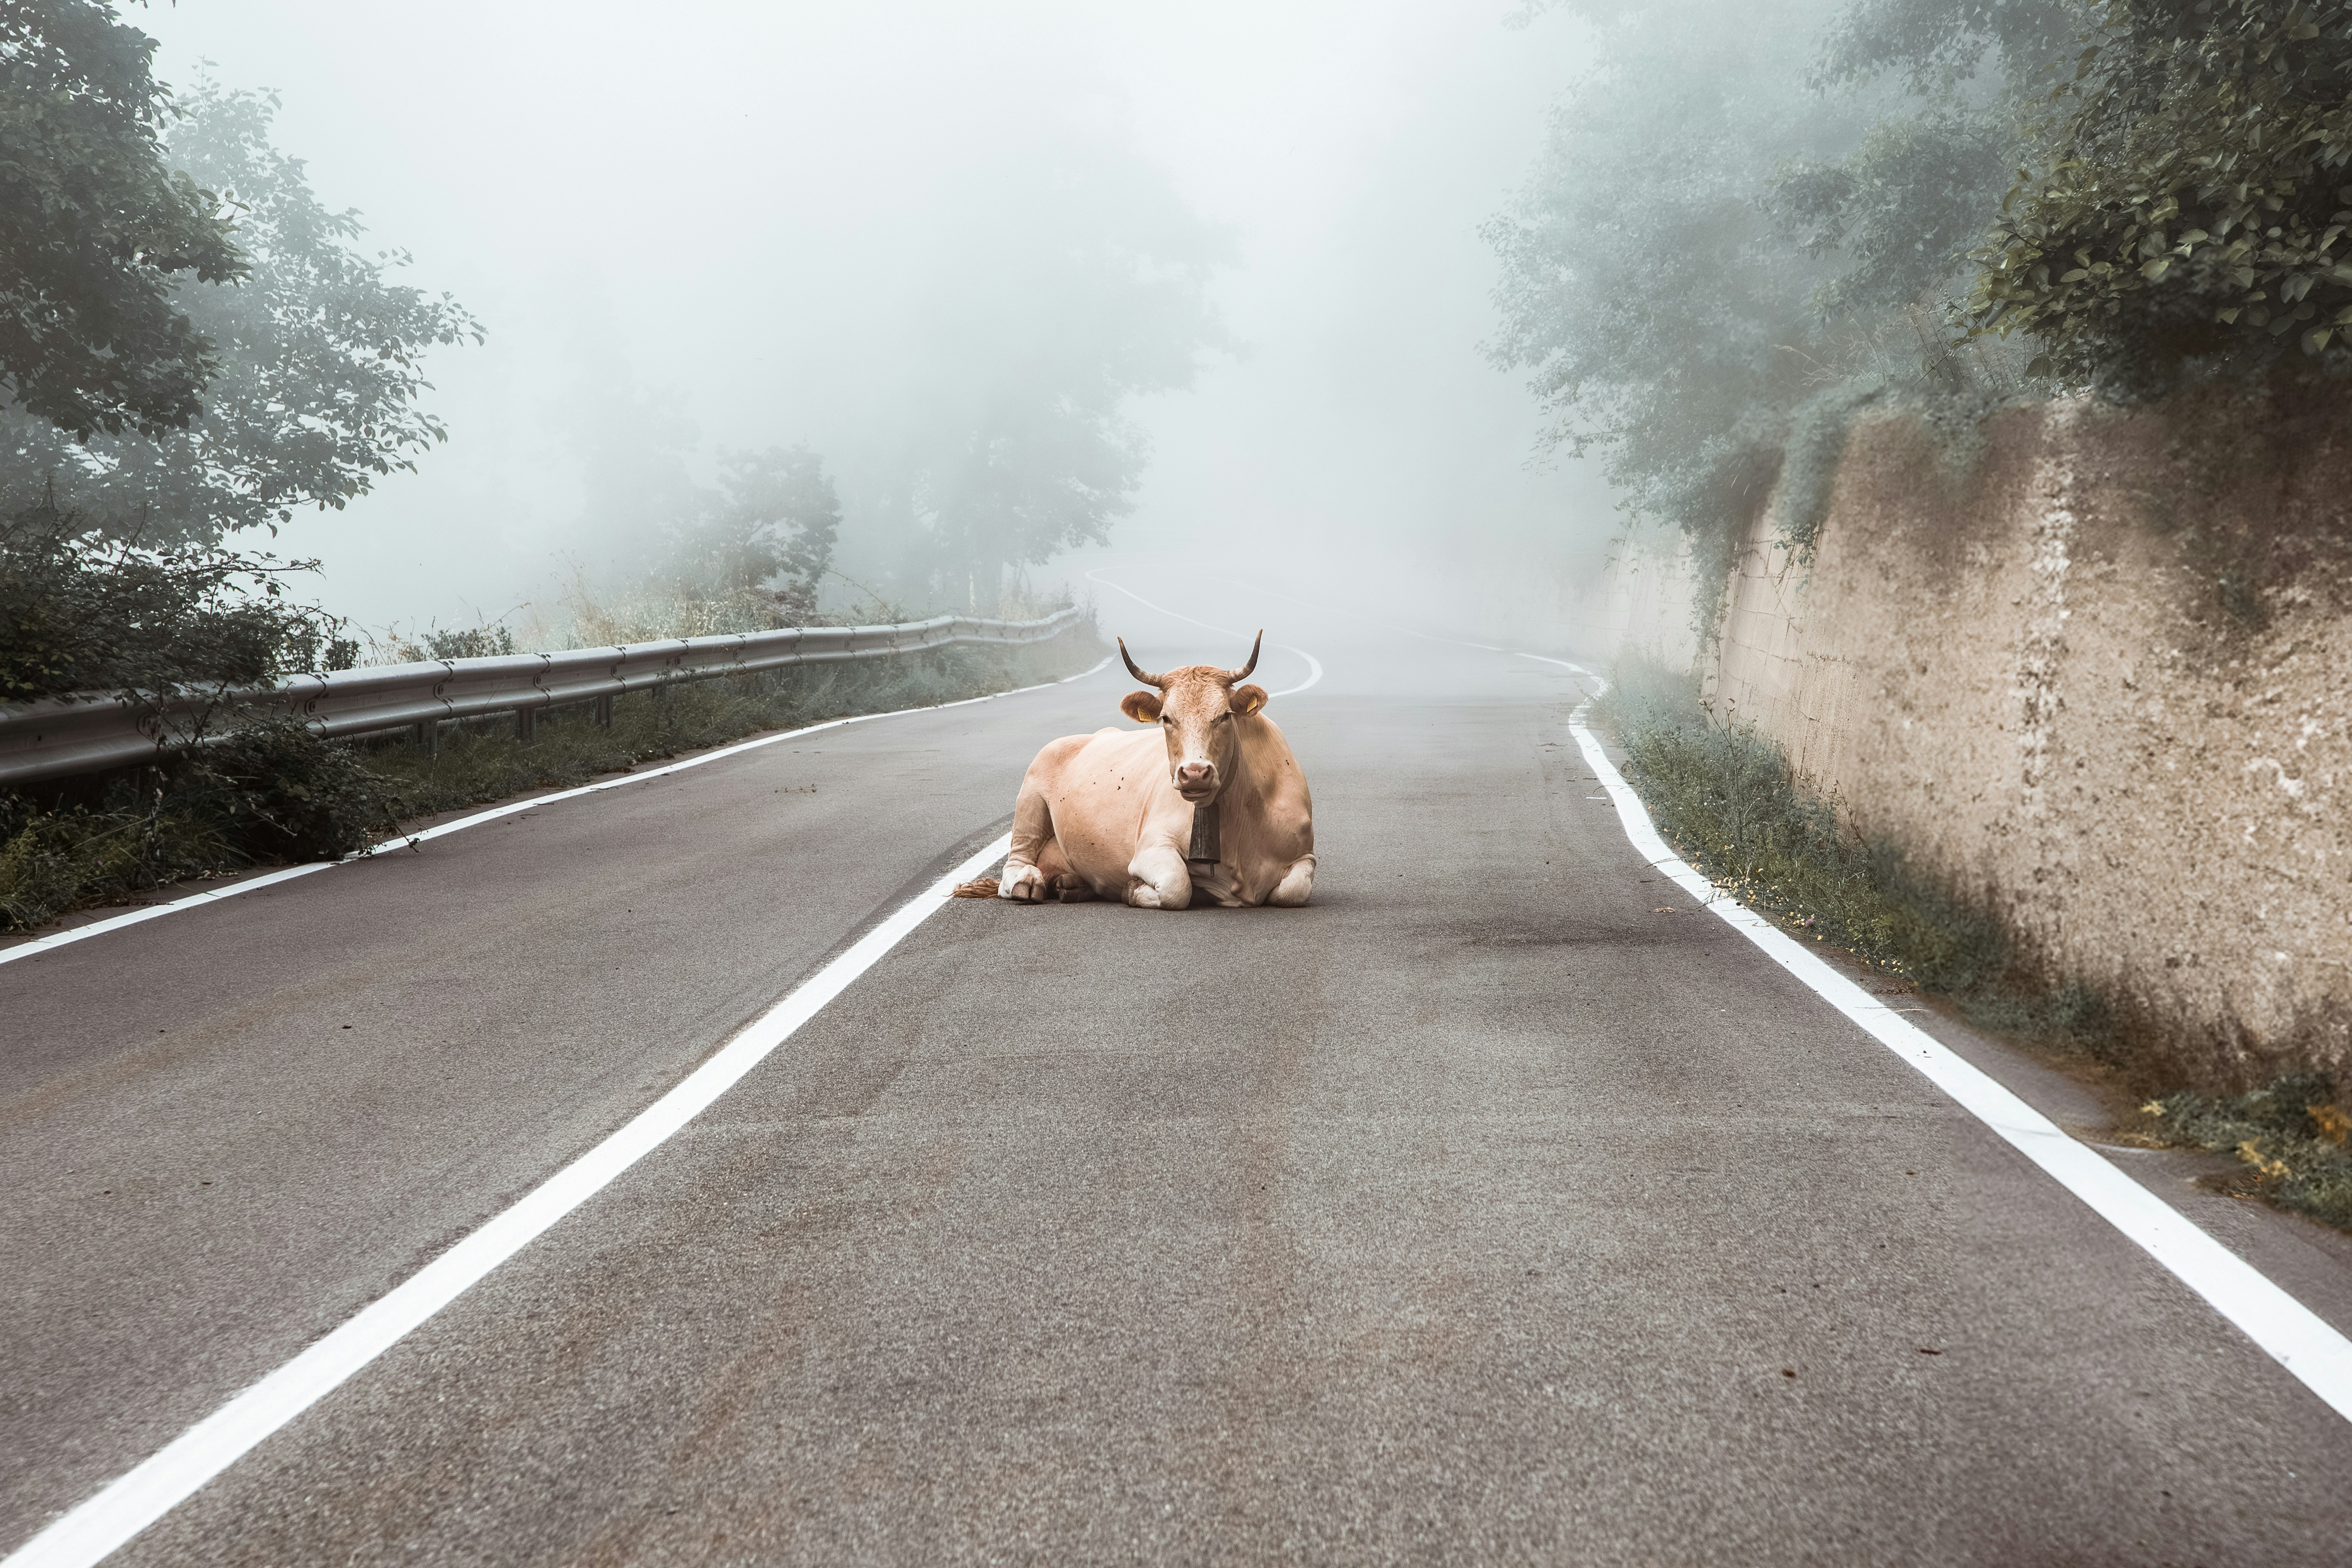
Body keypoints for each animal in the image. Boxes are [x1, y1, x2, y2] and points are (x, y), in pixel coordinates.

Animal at [990, 632, 1315, 909]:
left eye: (1225, 716)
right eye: (1166, 718)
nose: (1194, 773)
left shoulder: (1306, 855)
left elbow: (1294, 890)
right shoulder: (1150, 847)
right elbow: (1177, 886)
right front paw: (1132, 889)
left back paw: (1071, 885)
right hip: (1030, 798)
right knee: (1016, 861)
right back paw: (1028, 882)